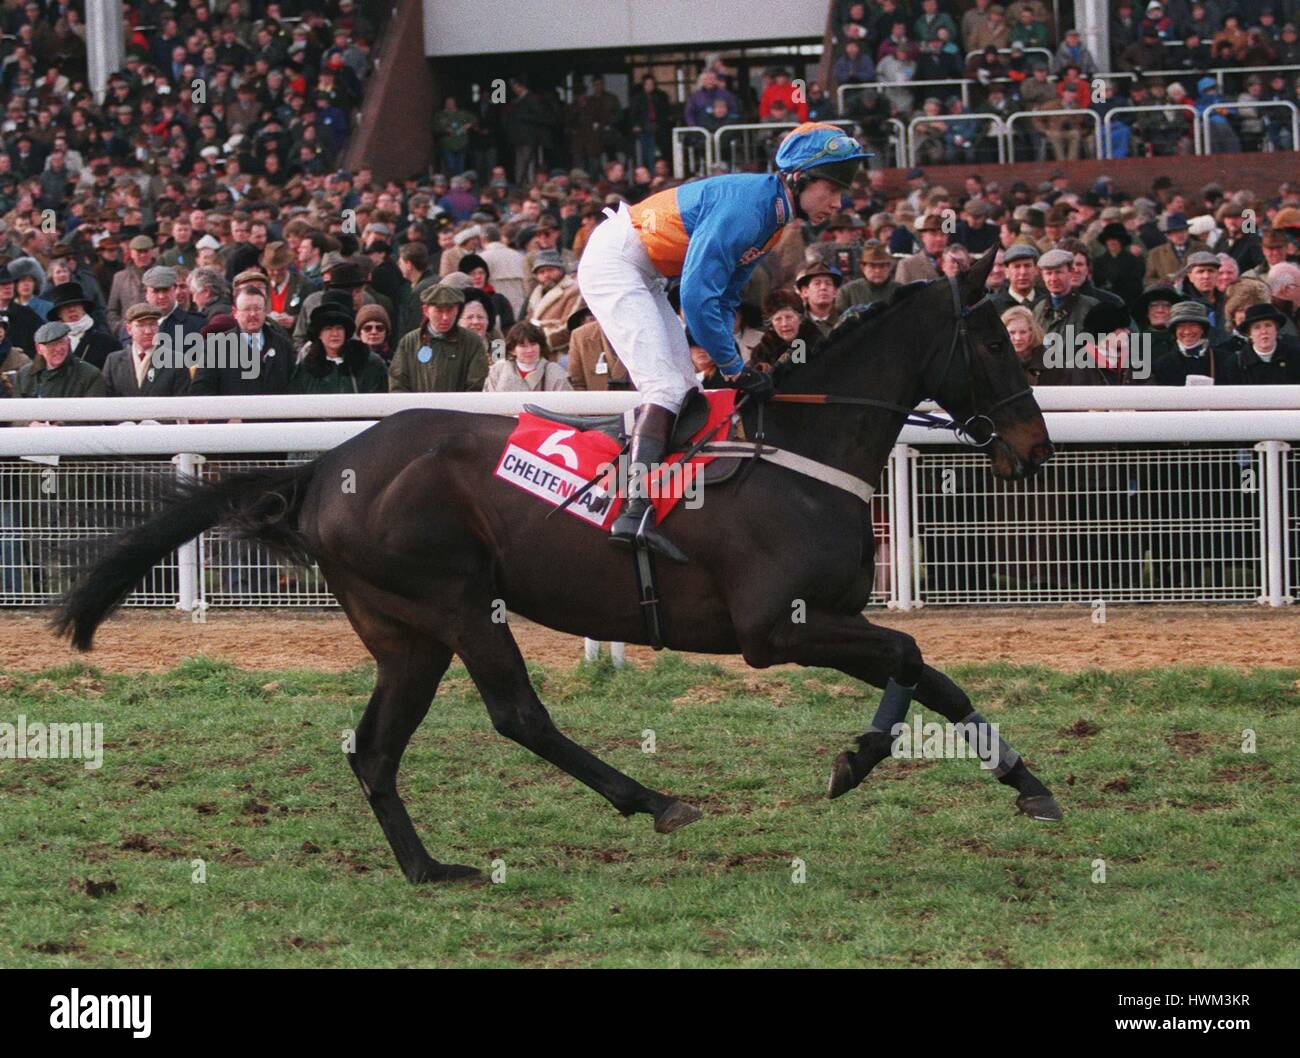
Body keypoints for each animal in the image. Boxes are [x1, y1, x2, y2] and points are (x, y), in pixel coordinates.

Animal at [54, 249, 1060, 885]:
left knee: (375, 750)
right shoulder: (777, 628)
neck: (801, 450)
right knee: (517, 716)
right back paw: (651, 800)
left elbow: (932, 674)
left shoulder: (820, 622)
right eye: (993, 342)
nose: (1036, 449)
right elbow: (905, 659)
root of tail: (322, 467)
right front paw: (857, 759)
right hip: (460, 604)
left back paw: (430, 869)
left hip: (407, 635)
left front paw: (1030, 785)